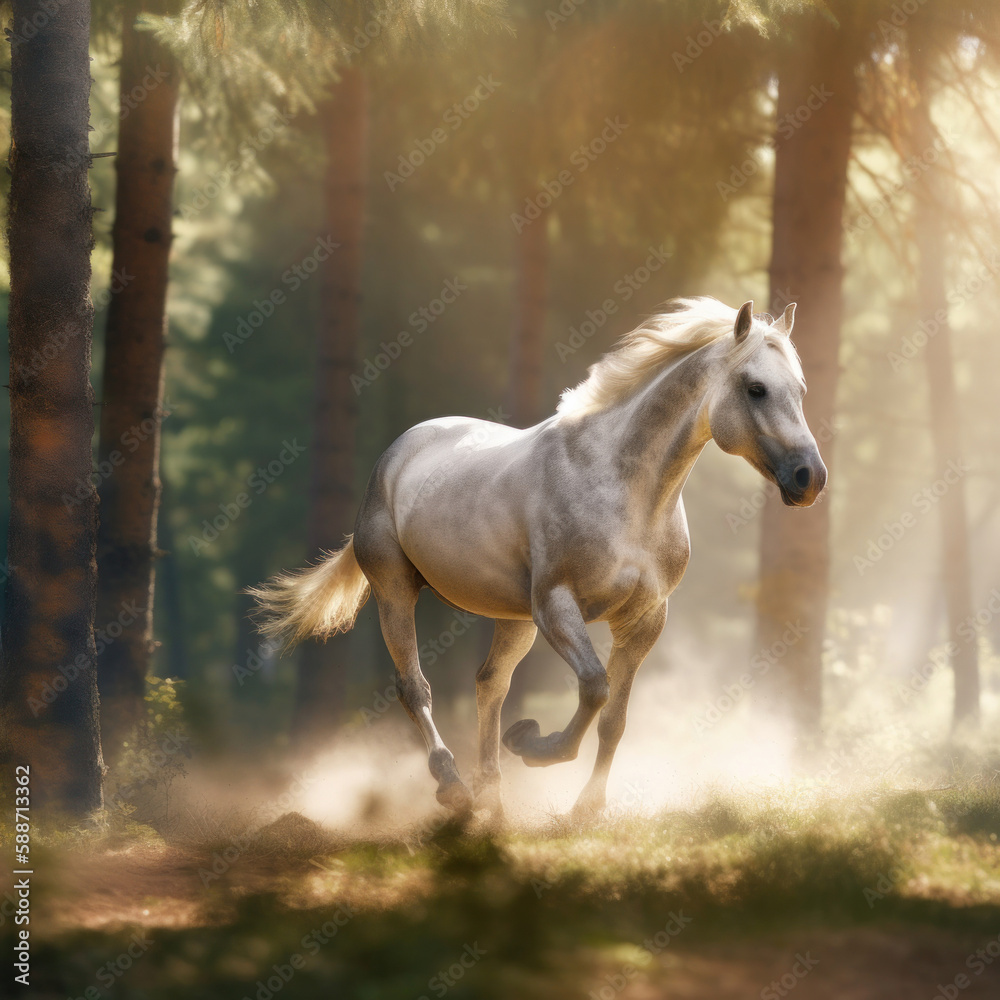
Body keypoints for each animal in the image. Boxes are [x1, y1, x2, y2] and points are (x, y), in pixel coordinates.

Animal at [250, 296, 827, 819]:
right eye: (755, 388)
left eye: (800, 390)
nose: (809, 478)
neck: (624, 490)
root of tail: (399, 451)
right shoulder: (556, 604)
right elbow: (594, 687)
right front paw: (533, 745)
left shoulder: (644, 618)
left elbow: (615, 717)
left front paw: (585, 809)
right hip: (396, 590)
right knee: (415, 688)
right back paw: (455, 788)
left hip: (513, 618)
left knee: (489, 684)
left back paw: (492, 802)